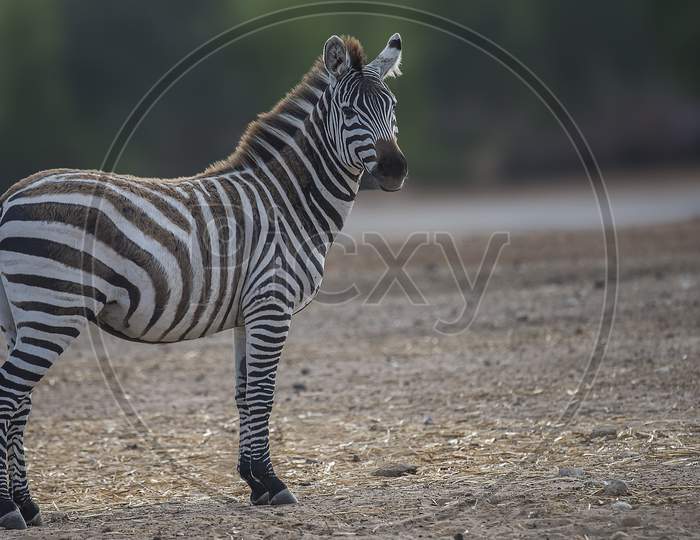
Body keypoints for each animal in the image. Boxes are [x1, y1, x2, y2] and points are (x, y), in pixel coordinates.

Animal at [0, 33, 406, 528]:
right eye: (349, 111)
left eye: (392, 106)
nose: (395, 170)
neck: (288, 201)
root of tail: (12, 195)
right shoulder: (272, 305)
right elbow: (264, 393)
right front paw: (273, 483)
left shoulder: (248, 313)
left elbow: (245, 393)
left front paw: (254, 482)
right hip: (52, 310)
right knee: (9, 396)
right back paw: (7, 509)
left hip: (22, 317)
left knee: (20, 403)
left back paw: (27, 506)